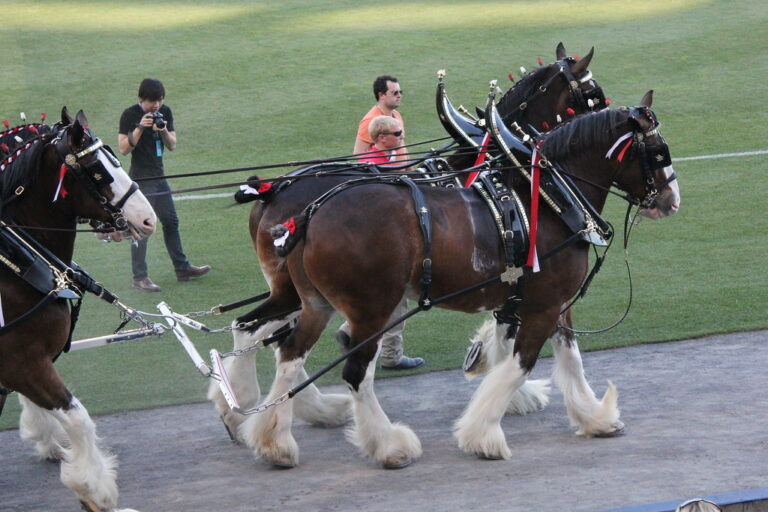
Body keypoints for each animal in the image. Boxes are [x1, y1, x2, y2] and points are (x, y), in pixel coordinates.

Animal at [207, 43, 607, 439]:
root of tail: (271, 190)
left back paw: (254, 408)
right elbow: (511, 334)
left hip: (290, 289)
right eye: (591, 94)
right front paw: (512, 392)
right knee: (277, 339)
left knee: (258, 332)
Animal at [242, 91, 679, 468]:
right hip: (371, 309)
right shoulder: (543, 305)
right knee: (353, 370)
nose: (671, 200)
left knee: (282, 349)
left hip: (313, 302)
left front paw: (593, 416)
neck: (549, 197)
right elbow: (520, 363)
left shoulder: (539, 300)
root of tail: (308, 212)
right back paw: (387, 444)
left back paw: (272, 437)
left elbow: (565, 357)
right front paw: (483, 434)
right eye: (659, 151)